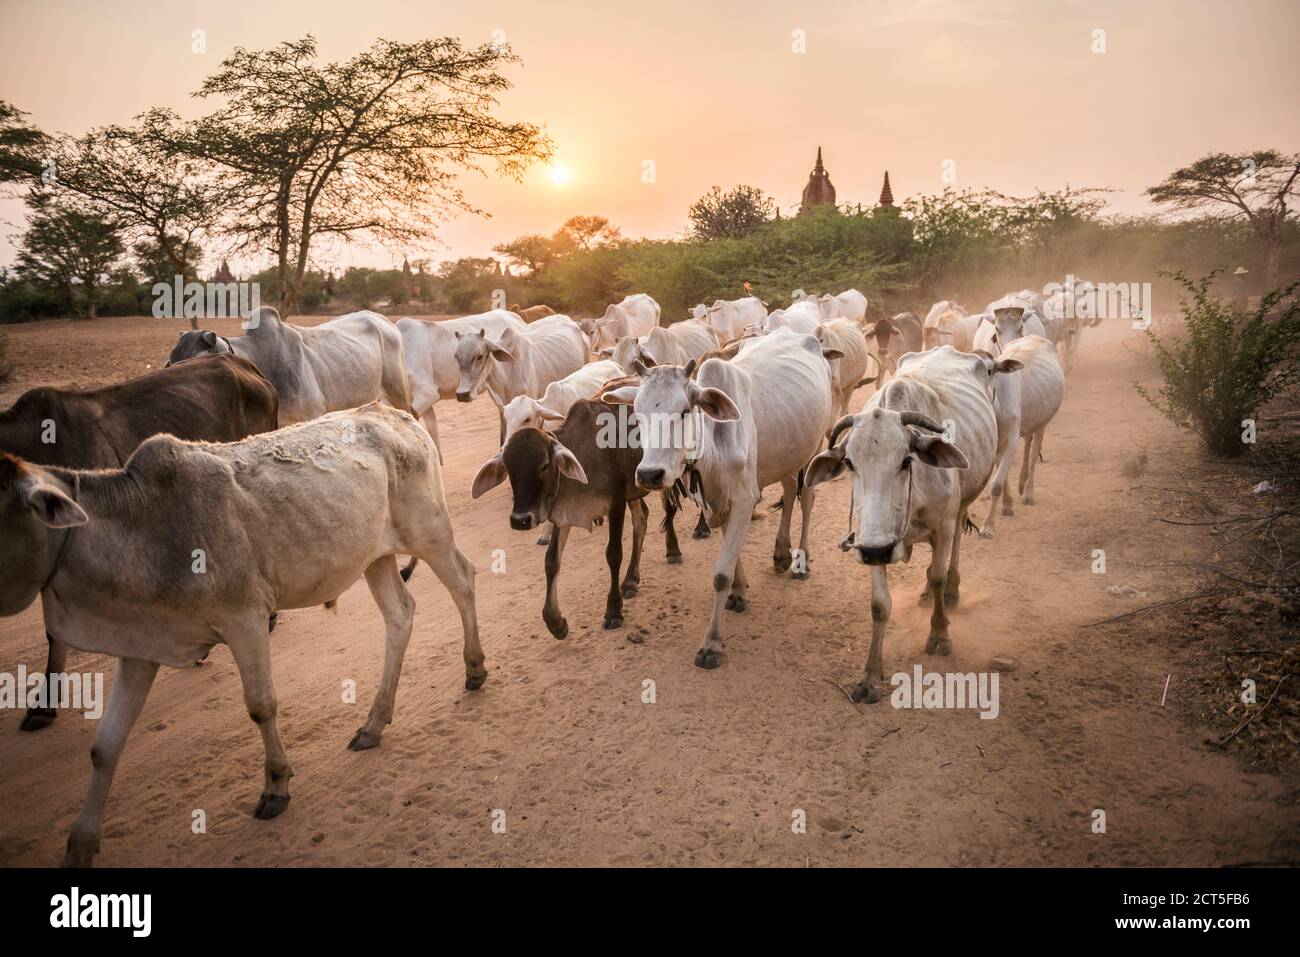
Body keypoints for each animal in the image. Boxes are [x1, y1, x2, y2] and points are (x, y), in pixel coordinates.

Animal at [0, 404, 481, 866]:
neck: (146, 527)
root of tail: (396, 414)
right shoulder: (141, 647)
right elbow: (106, 746)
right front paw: (79, 845)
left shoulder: (245, 618)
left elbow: (261, 706)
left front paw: (276, 786)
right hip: (374, 557)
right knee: (400, 615)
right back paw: (374, 722)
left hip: (430, 533)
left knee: (464, 580)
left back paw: (475, 669)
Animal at [471, 398, 652, 638]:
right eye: (508, 468)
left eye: (545, 464)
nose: (520, 520)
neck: (588, 453)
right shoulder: (564, 513)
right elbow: (551, 561)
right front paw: (556, 622)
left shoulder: (617, 504)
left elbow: (614, 554)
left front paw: (613, 611)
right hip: (635, 493)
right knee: (641, 520)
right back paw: (631, 580)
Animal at [600, 327, 838, 669]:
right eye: (638, 414)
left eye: (685, 411)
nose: (649, 474)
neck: (713, 444)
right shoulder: (718, 502)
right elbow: (730, 551)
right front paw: (739, 592)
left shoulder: (744, 498)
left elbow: (721, 574)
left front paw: (712, 644)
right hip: (785, 453)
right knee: (790, 490)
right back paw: (781, 552)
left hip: (814, 447)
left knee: (806, 497)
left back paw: (800, 560)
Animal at [805, 345, 1010, 703]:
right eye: (850, 463)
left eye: (905, 460)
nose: (878, 549)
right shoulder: (871, 540)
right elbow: (879, 605)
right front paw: (871, 676)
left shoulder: (941, 526)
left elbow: (938, 574)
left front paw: (940, 634)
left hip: (964, 503)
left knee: (954, 547)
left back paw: (952, 589)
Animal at [977, 335, 1066, 537]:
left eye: (989, 371)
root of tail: (1036, 337)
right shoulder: (997, 444)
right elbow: (1001, 474)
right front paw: (1007, 505)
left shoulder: (1011, 440)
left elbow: (996, 485)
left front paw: (988, 526)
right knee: (1028, 442)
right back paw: (1021, 483)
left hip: (1043, 421)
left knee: (1033, 454)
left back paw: (1028, 491)